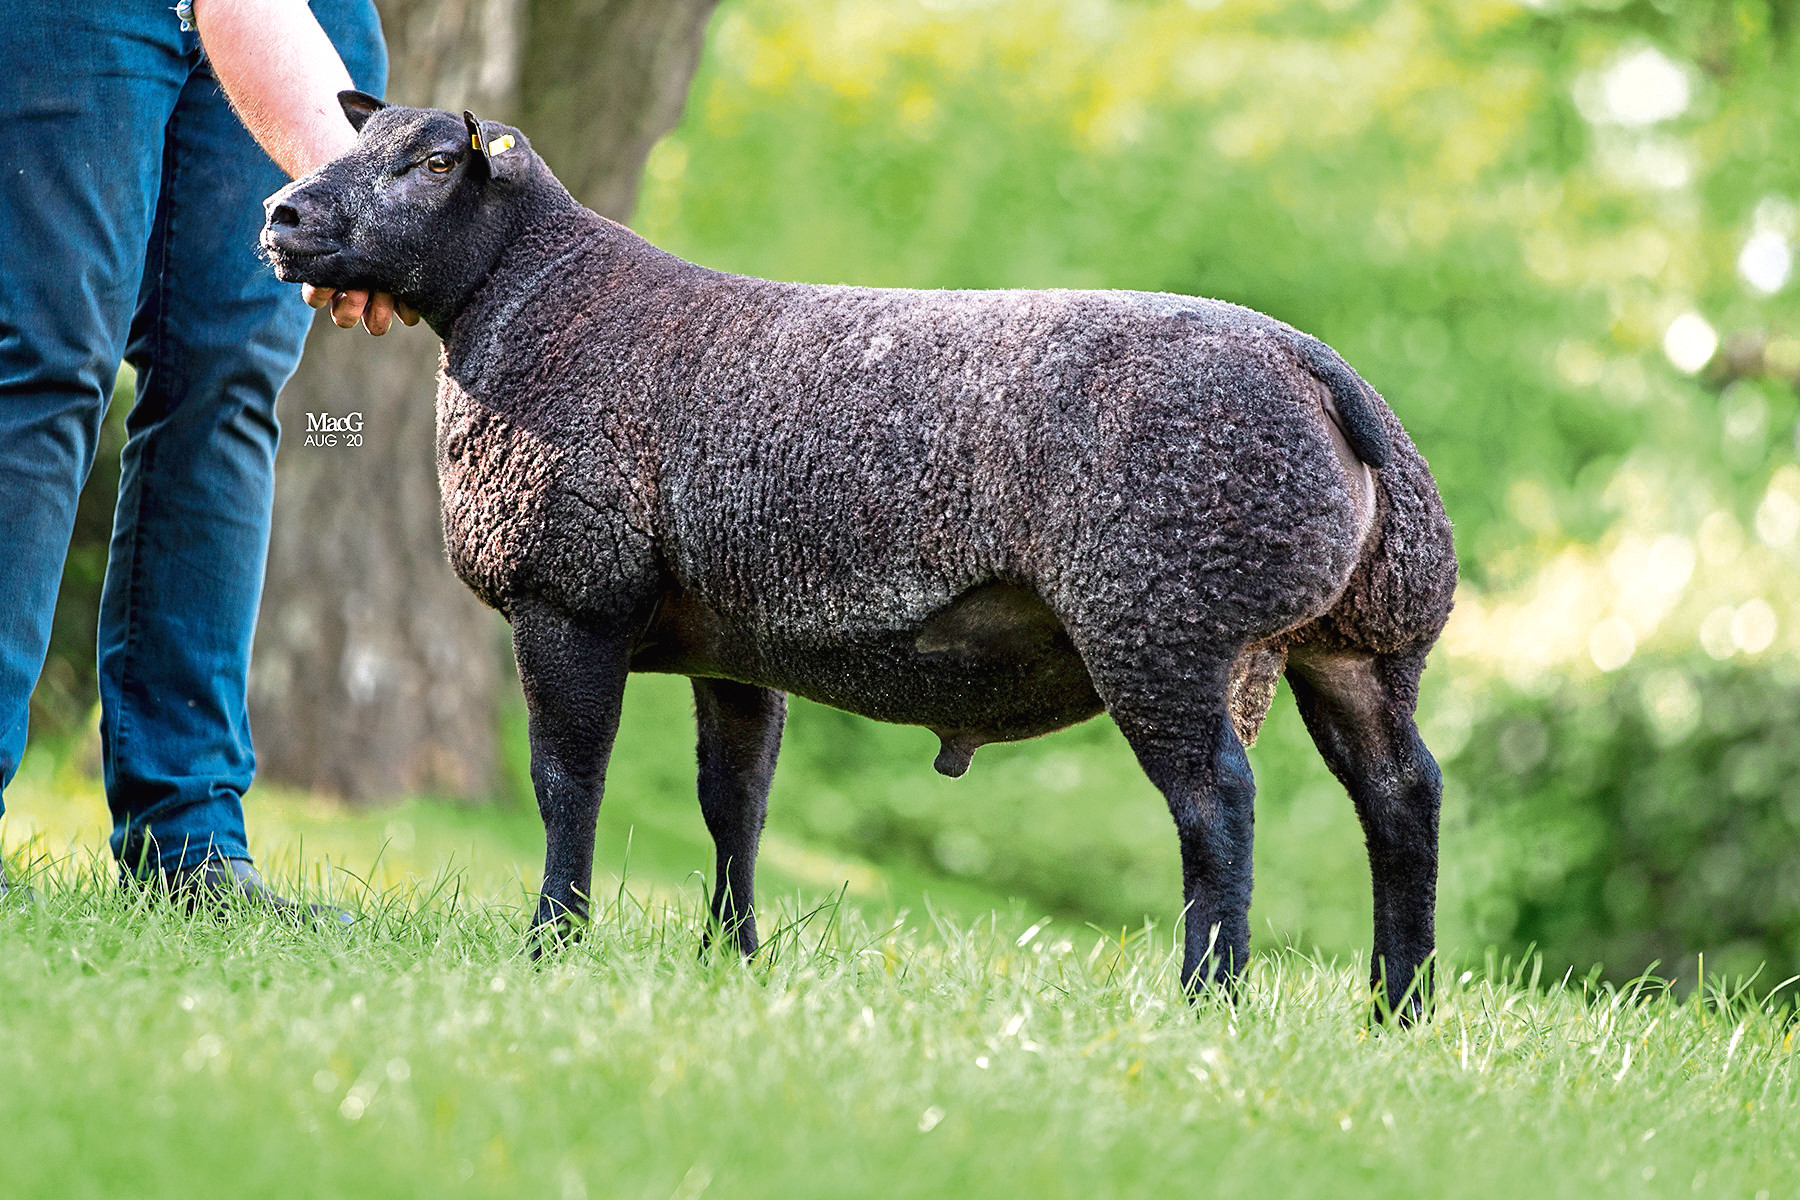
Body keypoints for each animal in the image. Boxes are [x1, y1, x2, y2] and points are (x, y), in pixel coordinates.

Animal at [262, 93, 1458, 1016]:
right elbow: (735, 802)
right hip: (1361, 643)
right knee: (1403, 795)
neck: (538, 299)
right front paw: (730, 959)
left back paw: (1209, 1000)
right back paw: (1395, 1013)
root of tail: (1320, 371)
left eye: (433, 162)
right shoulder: (732, 646)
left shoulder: (570, 597)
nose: (281, 212)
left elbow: (569, 784)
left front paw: (553, 946)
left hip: (1163, 623)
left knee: (1219, 805)